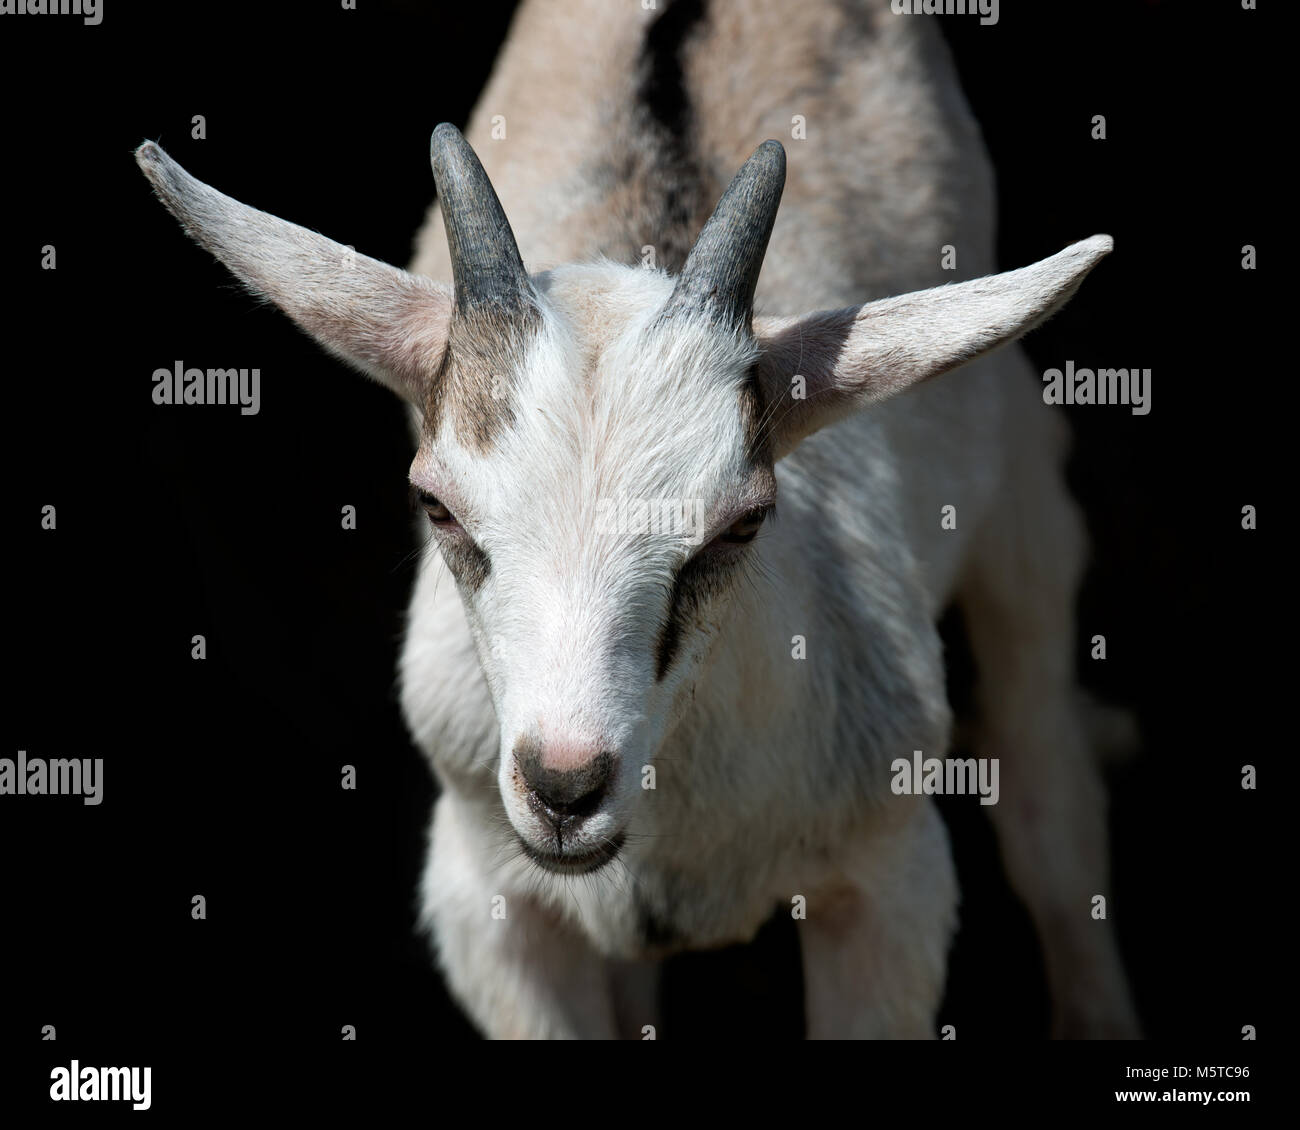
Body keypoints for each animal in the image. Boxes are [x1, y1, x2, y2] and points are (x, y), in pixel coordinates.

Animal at [137, 0, 1140, 1039]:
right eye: (436, 505)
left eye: (743, 522)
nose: (565, 786)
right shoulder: (488, 905)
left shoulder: (890, 889)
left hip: (1021, 504)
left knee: (1047, 791)